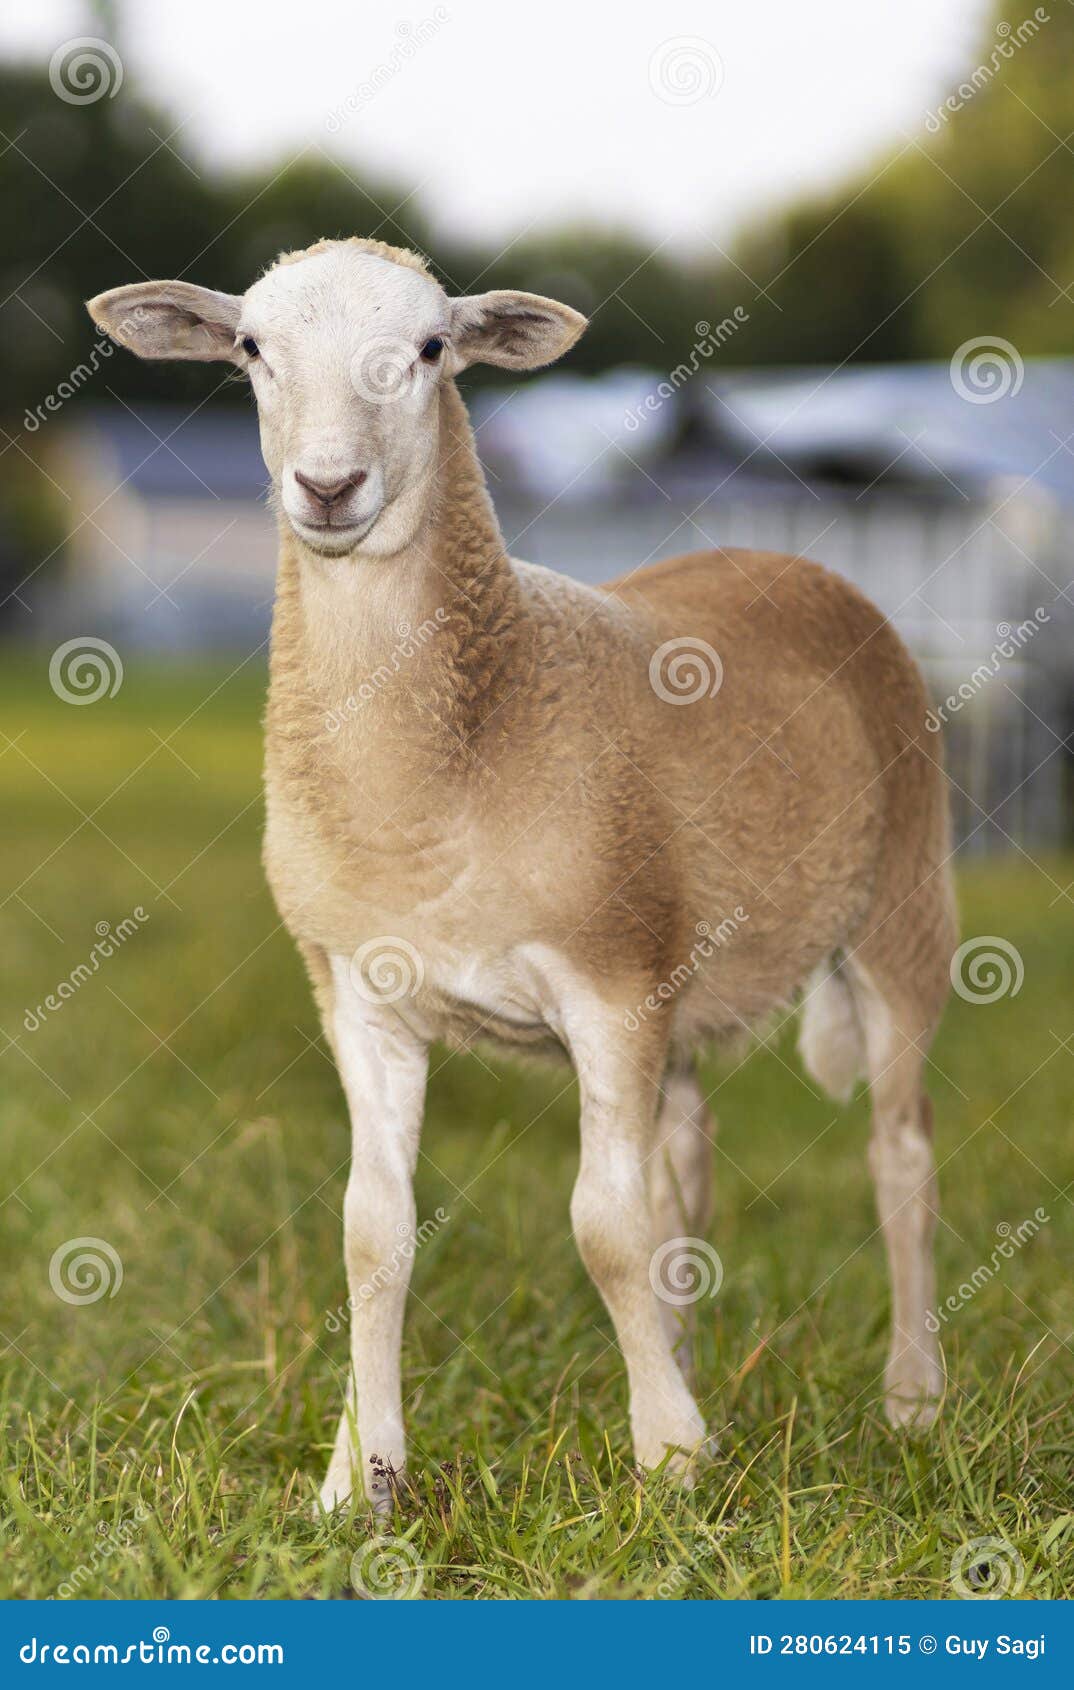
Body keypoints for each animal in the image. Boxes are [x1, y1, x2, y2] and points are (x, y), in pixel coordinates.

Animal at [88, 237, 956, 1512]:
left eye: (432, 348)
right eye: (250, 347)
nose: (330, 487)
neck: (435, 773)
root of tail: (784, 557)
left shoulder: (609, 986)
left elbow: (603, 1225)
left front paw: (667, 1460)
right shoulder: (360, 992)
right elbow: (372, 1229)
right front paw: (358, 1477)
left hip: (900, 908)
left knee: (899, 1155)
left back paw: (912, 1398)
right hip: (682, 964)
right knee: (686, 1161)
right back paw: (689, 1361)